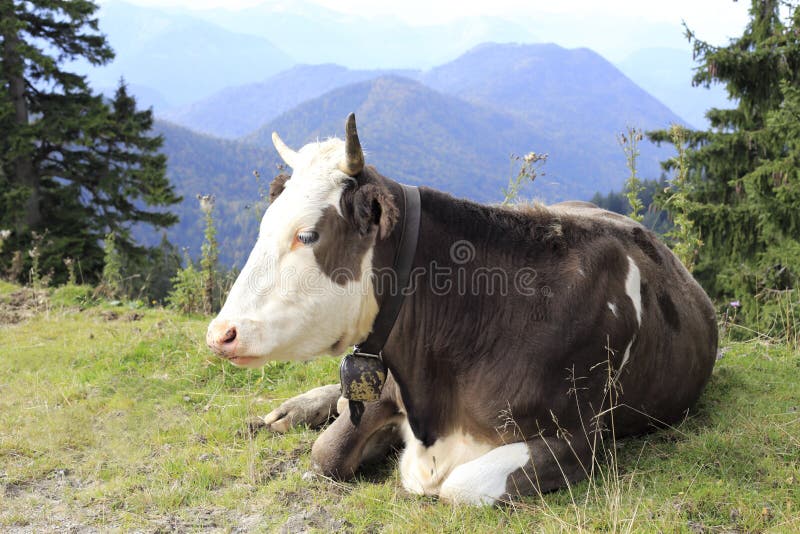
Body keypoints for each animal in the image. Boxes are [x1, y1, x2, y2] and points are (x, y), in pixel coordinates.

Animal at [206, 113, 718, 505]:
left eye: (307, 235)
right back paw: (292, 410)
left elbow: (459, 486)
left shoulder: (580, 438)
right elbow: (326, 453)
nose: (220, 333)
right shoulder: (392, 389)